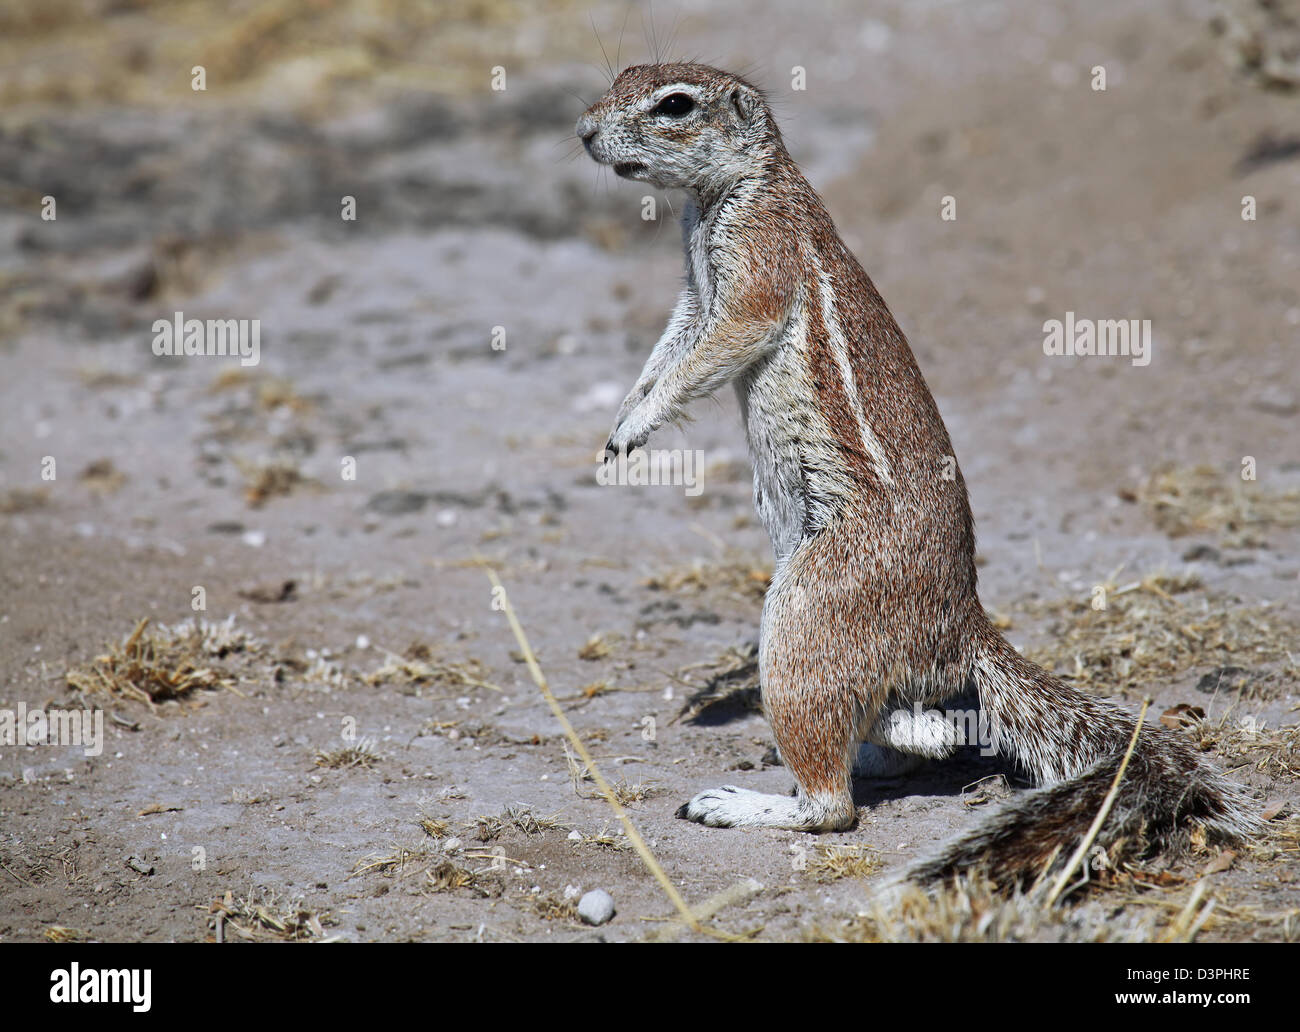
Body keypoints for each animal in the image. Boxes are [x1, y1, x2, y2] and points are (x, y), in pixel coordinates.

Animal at [575, 63, 1260, 887]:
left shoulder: (756, 262)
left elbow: (720, 340)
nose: (583, 132)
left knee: (834, 806)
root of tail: (965, 620)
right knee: (916, 728)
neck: (735, 188)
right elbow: (669, 346)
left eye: (673, 105)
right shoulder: (689, 291)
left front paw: (638, 424)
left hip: (811, 608)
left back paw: (748, 802)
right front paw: (623, 415)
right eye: (619, 78)